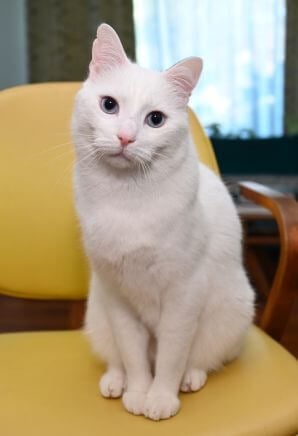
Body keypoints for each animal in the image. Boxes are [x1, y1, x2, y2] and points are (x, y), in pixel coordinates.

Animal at [71, 22, 254, 420]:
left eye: (155, 119)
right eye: (109, 105)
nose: (125, 137)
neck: (126, 198)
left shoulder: (183, 295)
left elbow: (171, 356)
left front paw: (160, 399)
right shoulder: (118, 297)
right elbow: (134, 355)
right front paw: (139, 393)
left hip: (230, 312)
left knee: (202, 358)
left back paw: (190, 379)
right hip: (98, 314)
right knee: (118, 358)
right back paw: (116, 382)